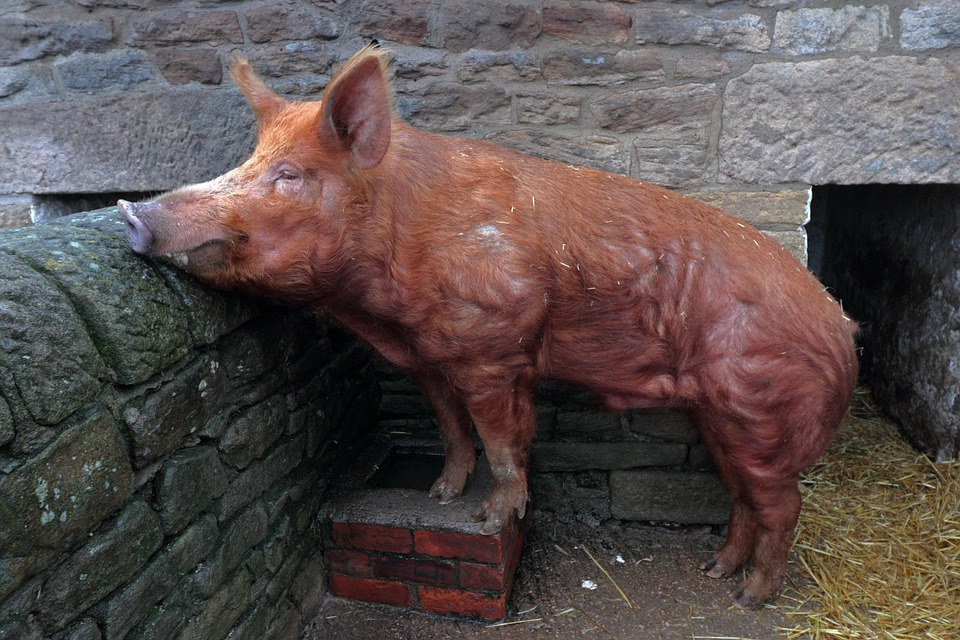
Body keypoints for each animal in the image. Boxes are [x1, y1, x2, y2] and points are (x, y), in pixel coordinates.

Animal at [119, 46, 858, 609]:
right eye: (246, 162)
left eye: (289, 175)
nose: (132, 211)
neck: (386, 292)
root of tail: (841, 324)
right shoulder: (426, 356)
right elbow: (452, 429)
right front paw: (441, 494)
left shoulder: (496, 348)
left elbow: (504, 444)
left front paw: (487, 517)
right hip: (718, 414)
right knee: (742, 496)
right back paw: (715, 571)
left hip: (760, 404)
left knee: (782, 504)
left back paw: (750, 598)